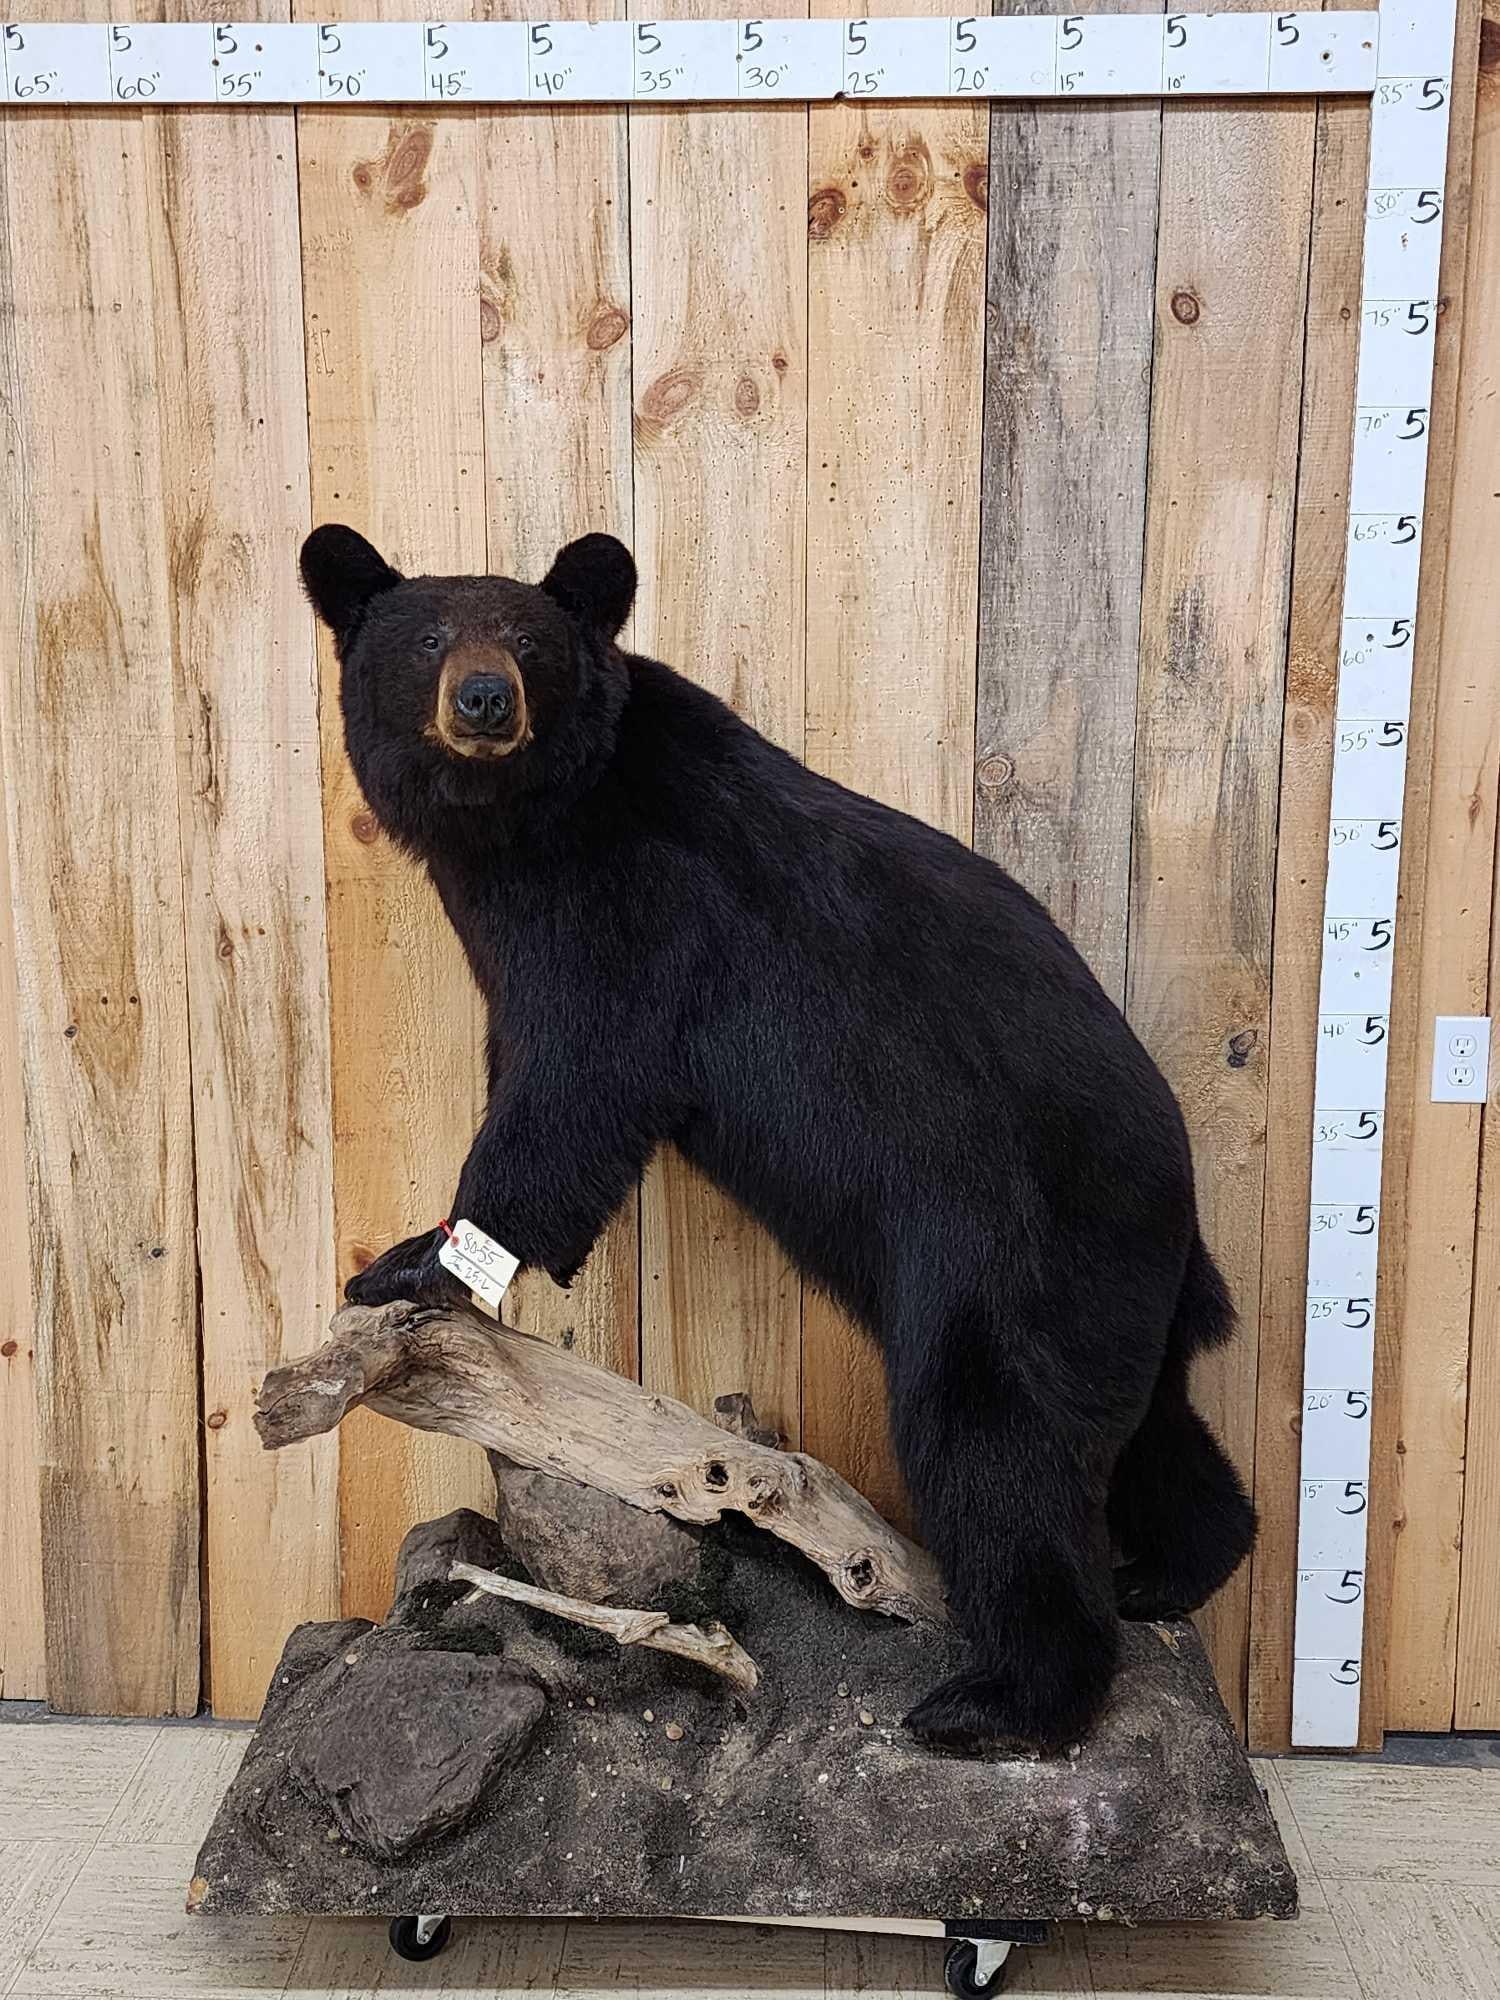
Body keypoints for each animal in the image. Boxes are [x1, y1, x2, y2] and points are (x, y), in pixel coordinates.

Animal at [301, 522, 1257, 1753]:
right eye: (426, 638)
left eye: (525, 638)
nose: (481, 697)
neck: (523, 825)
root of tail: (1178, 1202)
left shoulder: (627, 912)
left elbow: (570, 1086)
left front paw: (419, 1260)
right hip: (1116, 1298)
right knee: (1146, 1430)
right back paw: (1173, 1569)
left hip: (1013, 1253)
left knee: (1001, 1451)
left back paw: (999, 1696)